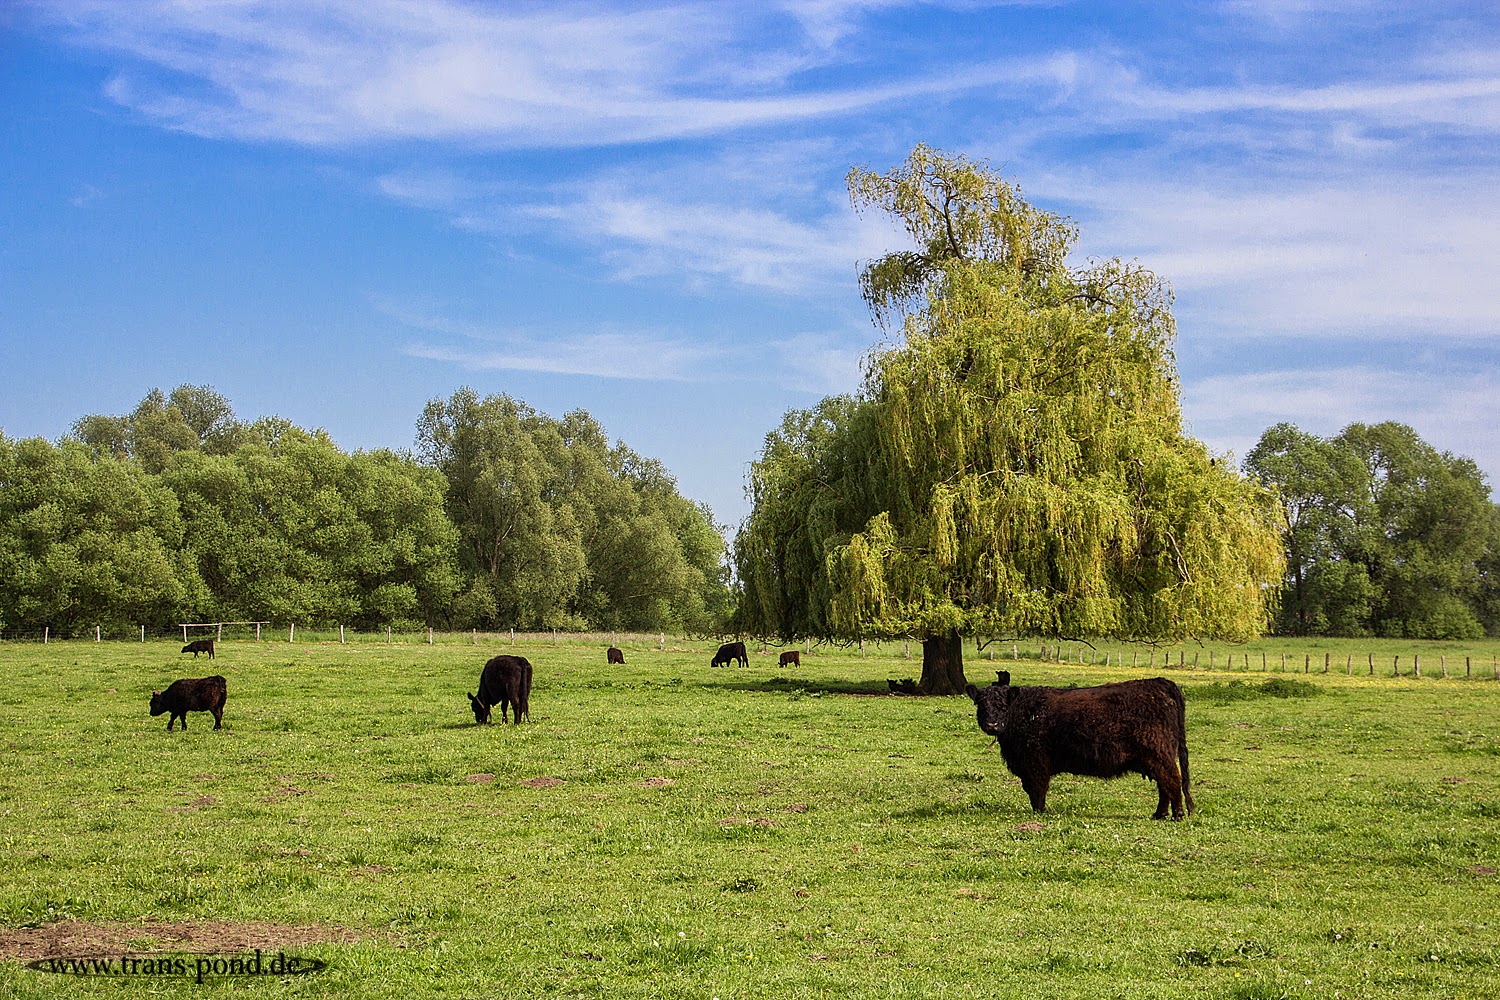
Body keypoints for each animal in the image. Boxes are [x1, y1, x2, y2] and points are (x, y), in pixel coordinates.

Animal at [965, 671, 1194, 821]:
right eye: (981, 704)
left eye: (1002, 705)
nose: (992, 725)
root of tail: (1159, 682)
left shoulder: (1035, 761)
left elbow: (1037, 789)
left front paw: (1038, 812)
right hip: (1154, 757)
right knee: (1164, 784)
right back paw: (1159, 814)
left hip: (1158, 753)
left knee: (1172, 780)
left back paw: (1177, 815)